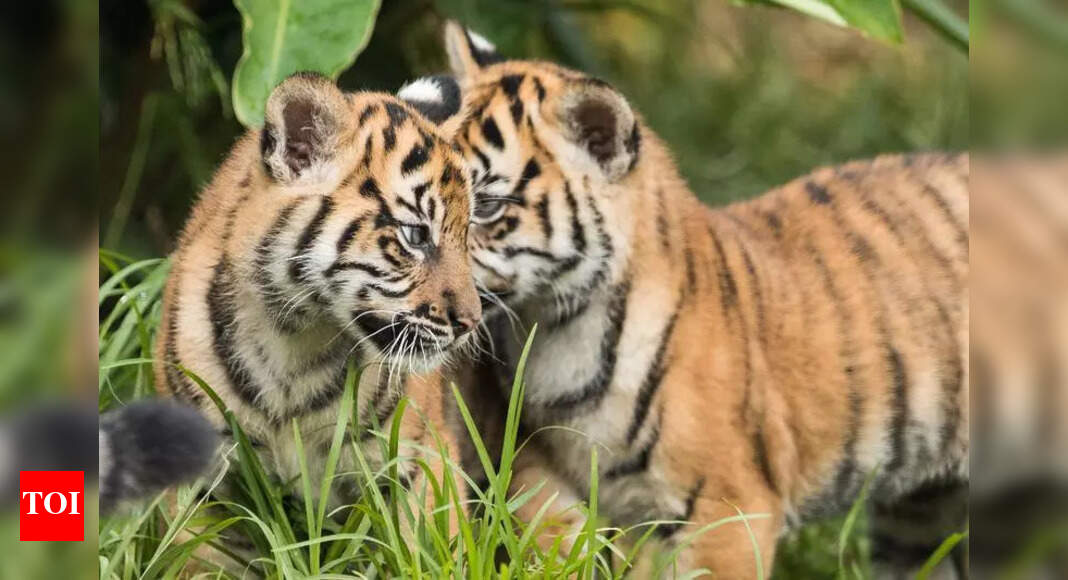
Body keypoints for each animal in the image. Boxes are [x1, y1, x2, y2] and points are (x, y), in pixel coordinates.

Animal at [152, 71, 479, 542]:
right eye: (416, 235)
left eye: (466, 233)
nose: (471, 323)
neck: (294, 338)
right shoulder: (204, 483)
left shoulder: (418, 461)